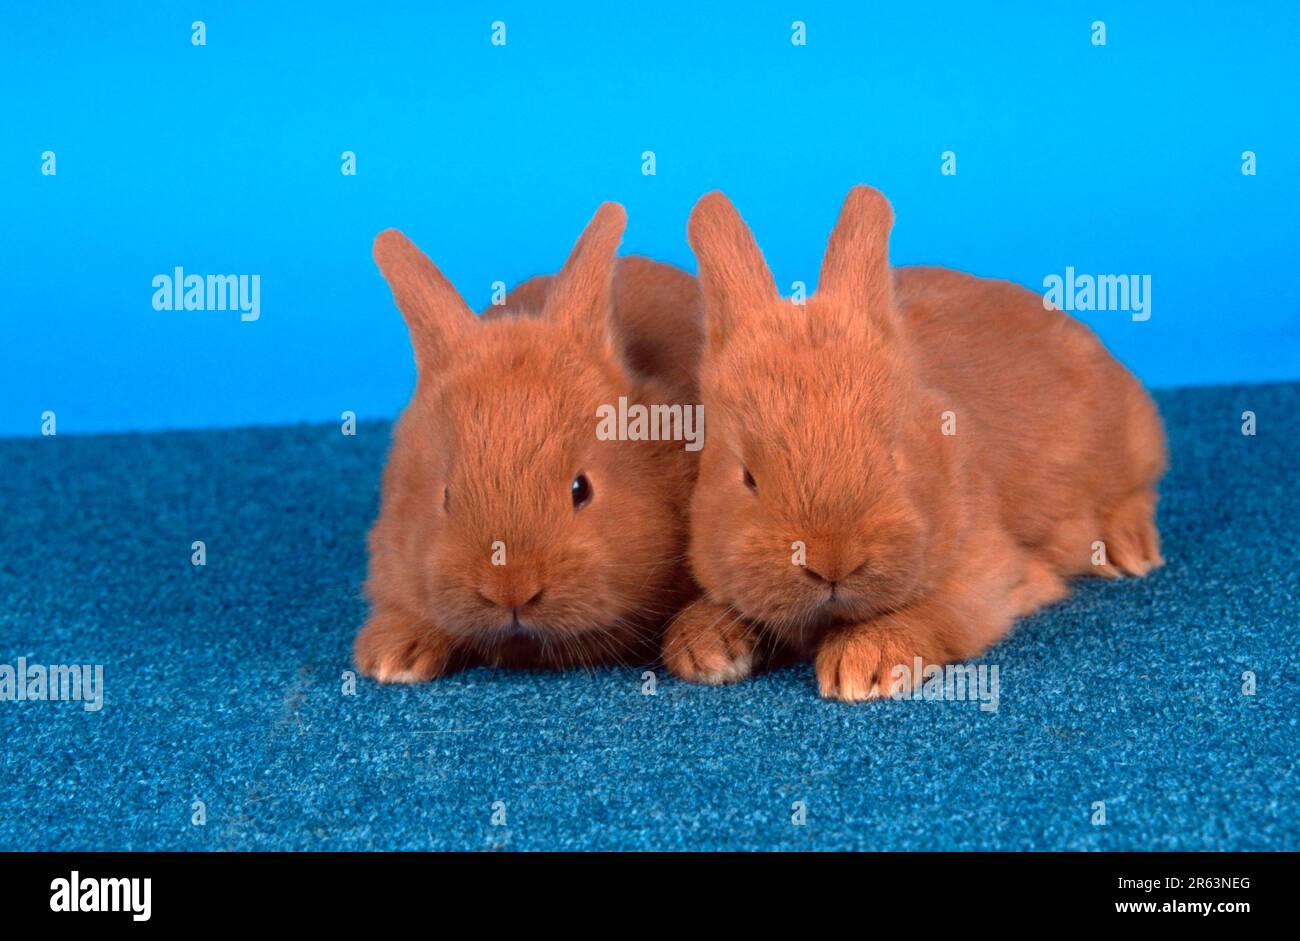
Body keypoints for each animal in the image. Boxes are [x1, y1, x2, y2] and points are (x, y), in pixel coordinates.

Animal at [663, 185, 1166, 701]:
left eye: (894, 458)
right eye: (747, 477)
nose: (831, 563)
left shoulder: (988, 580)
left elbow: (940, 613)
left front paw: (863, 663)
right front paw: (703, 647)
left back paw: (1131, 549)